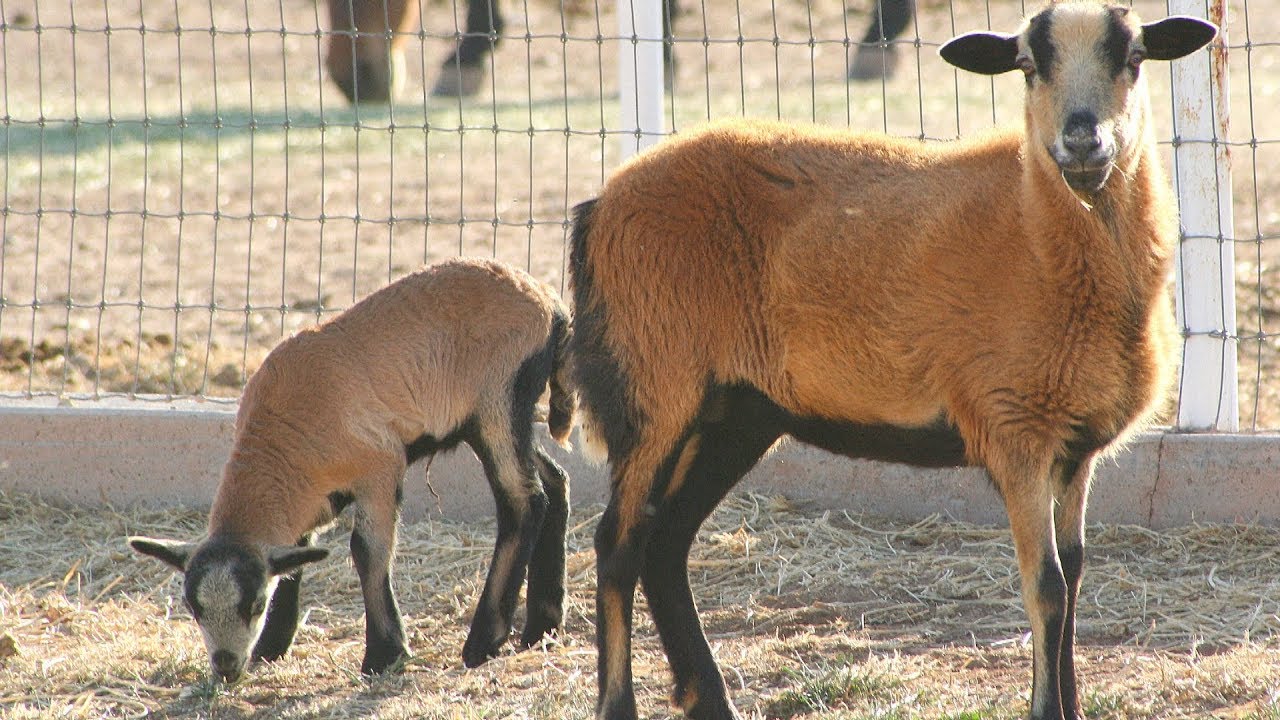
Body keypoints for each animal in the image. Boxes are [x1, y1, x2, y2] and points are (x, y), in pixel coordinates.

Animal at [130, 257, 575, 682]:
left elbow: (368, 551)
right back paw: (542, 628)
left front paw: (384, 654)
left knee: (523, 501)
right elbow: (296, 559)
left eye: (255, 604)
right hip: (500, 417)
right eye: (193, 606)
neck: (283, 439)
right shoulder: (312, 498)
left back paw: (485, 640)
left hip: (498, 397)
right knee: (554, 480)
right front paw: (271, 648)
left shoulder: (380, 465)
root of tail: (549, 302)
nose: (225, 665)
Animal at [566, 3, 1216, 719]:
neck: (1037, 234)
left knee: (665, 543)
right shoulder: (1015, 429)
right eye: (1027, 65)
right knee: (618, 545)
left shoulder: (1074, 447)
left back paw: (709, 696)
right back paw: (621, 702)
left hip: (734, 410)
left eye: (1133, 58)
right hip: (654, 386)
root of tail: (601, 203)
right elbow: (1045, 586)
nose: (1082, 142)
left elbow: (1072, 577)